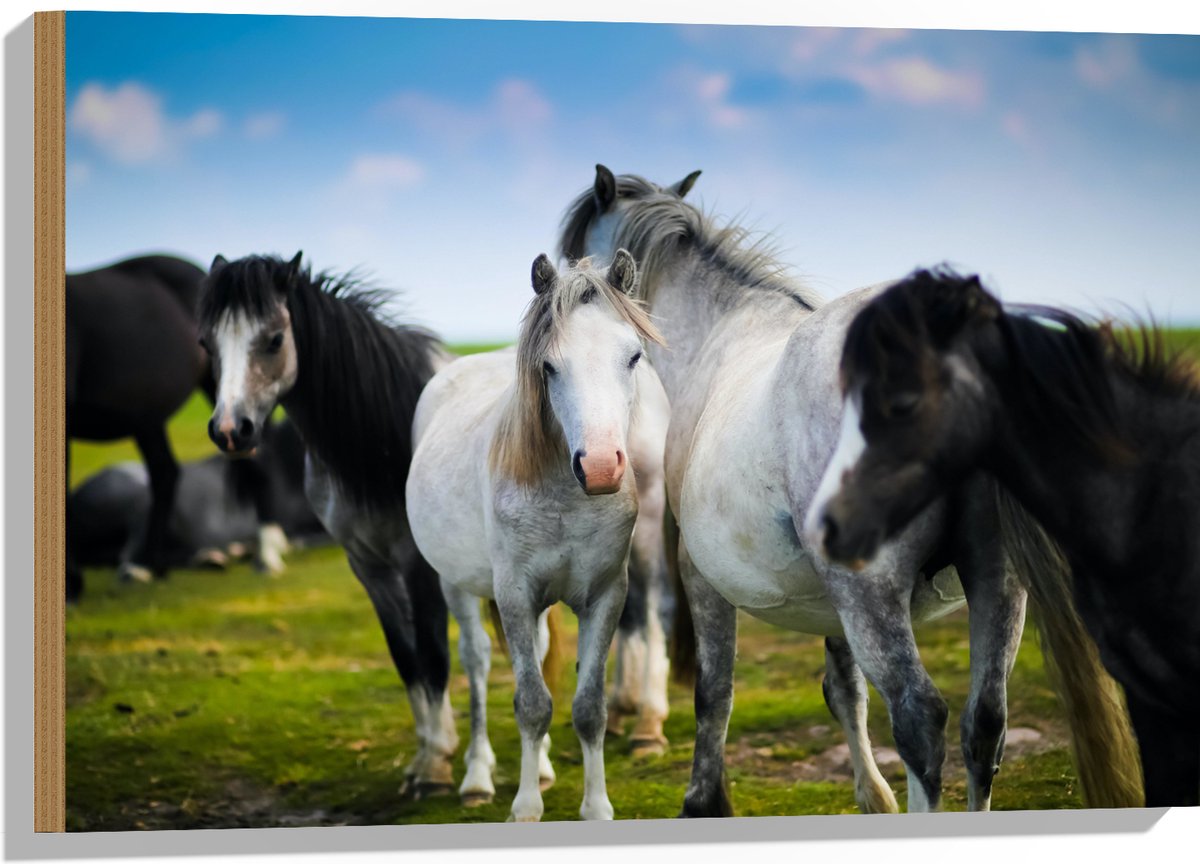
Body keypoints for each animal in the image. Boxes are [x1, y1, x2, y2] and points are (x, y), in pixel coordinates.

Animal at [198, 251, 468, 799]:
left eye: (274, 339)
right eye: (206, 344)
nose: (231, 430)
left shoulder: (419, 567)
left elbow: (433, 654)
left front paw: (434, 769)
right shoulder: (368, 567)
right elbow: (407, 657)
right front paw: (427, 755)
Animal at [405, 252, 668, 821]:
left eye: (633, 356)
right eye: (549, 366)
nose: (600, 467)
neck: (566, 497)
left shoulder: (604, 596)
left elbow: (588, 707)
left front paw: (597, 808)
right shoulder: (515, 597)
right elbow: (531, 703)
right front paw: (525, 808)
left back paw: (542, 767)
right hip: (456, 586)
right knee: (478, 662)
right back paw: (477, 777)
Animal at [558, 165, 1142, 814]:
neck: (721, 334)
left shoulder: (701, 574)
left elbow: (714, 692)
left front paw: (704, 802)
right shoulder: (828, 599)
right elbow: (844, 689)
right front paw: (872, 796)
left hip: (874, 594)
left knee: (920, 719)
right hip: (995, 582)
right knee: (984, 723)